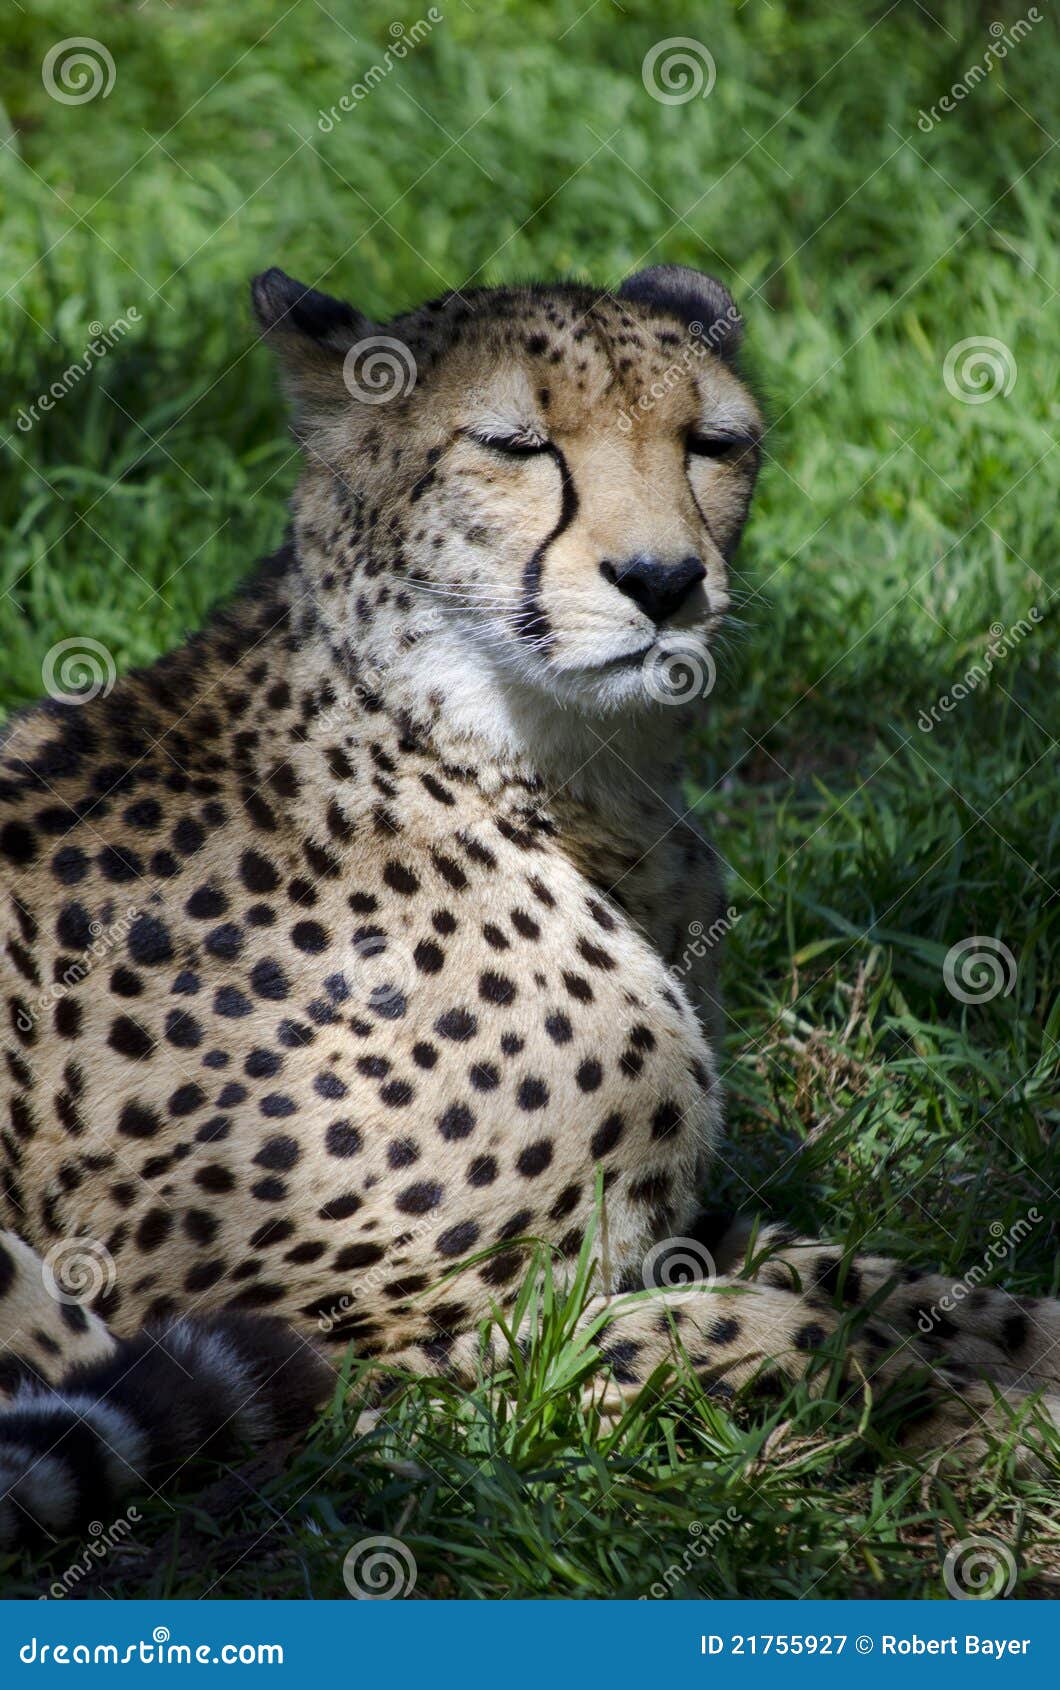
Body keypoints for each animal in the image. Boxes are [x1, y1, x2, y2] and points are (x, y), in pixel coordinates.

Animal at [1, 263, 1057, 1552]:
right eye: (515, 445)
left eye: (712, 442)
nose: (665, 582)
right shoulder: (350, 1346)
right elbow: (779, 1332)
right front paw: (996, 1424)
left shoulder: (646, 1232)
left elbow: (866, 1279)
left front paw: (1029, 1347)